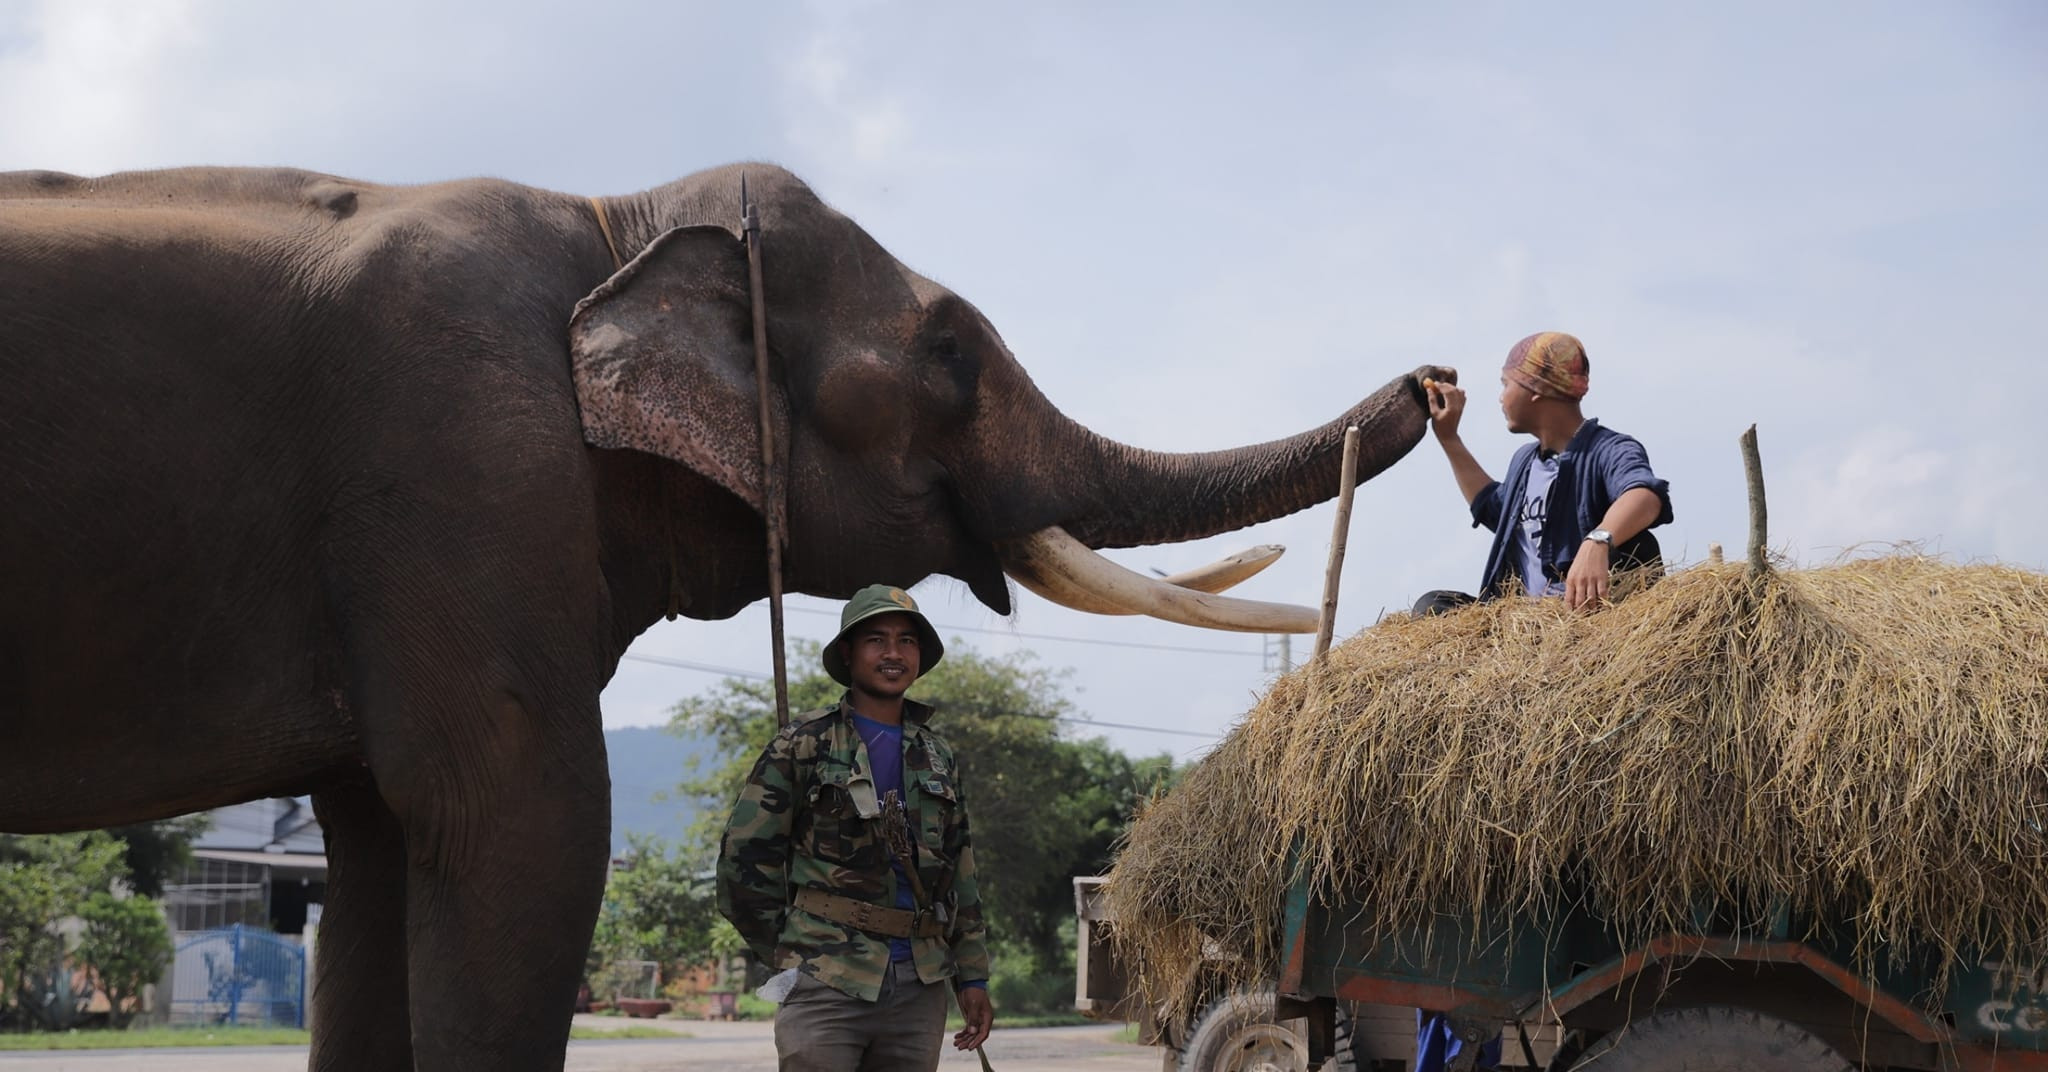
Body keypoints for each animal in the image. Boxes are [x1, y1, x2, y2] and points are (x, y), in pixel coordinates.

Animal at [0, 162, 1450, 1069]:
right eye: (947, 355)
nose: (1435, 381)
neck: (607, 220)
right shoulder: (464, 483)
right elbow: (519, 830)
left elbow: (379, 856)